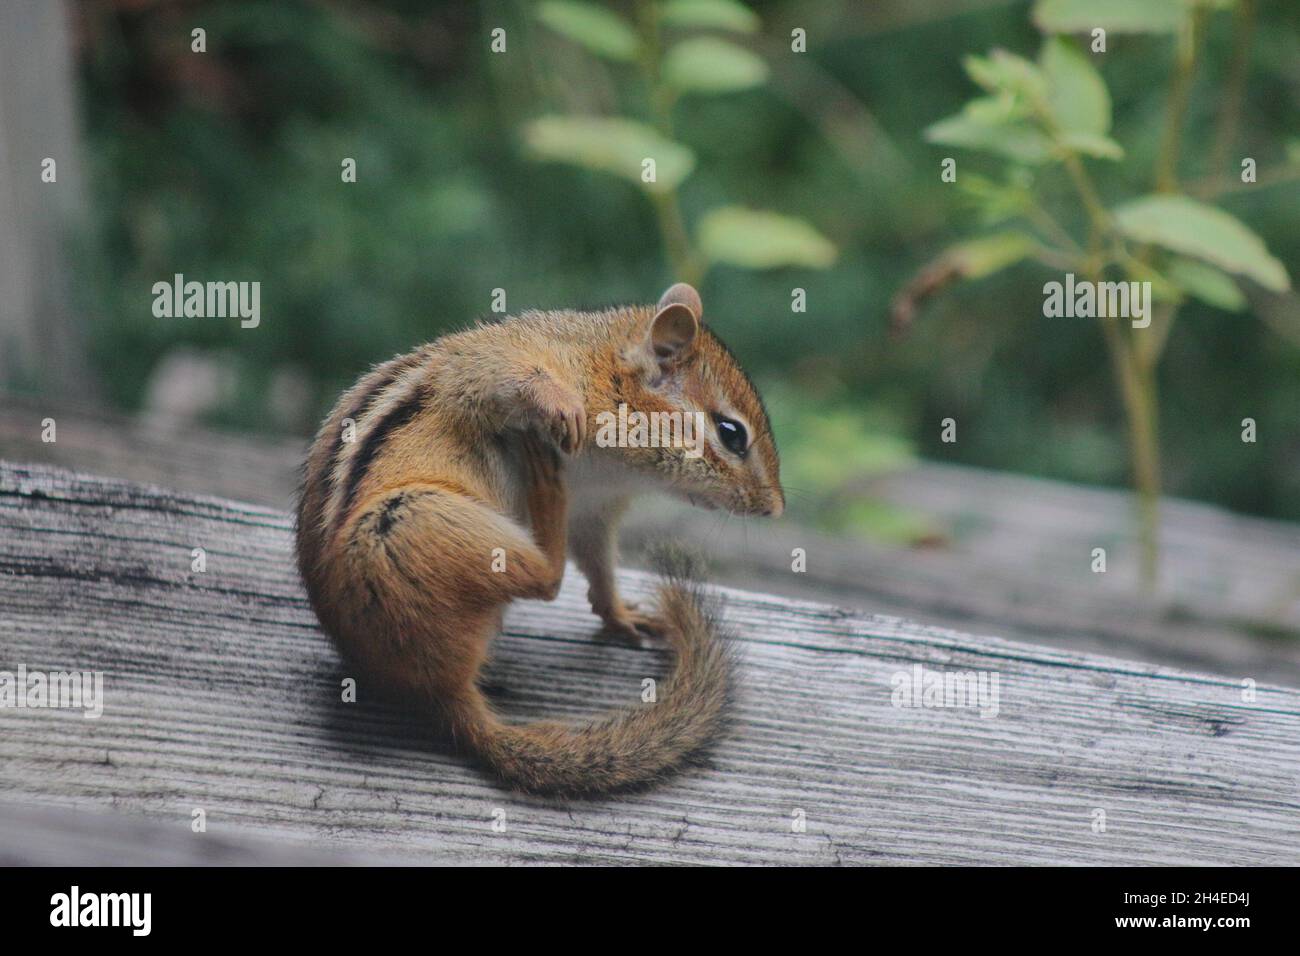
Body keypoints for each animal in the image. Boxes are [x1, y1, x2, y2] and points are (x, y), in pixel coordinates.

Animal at [295, 282, 784, 795]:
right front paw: (559, 405)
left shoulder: (594, 509)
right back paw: (545, 481)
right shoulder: (495, 362)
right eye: (731, 433)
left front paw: (622, 614)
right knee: (548, 578)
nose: (775, 507)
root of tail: (431, 690)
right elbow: (504, 370)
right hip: (407, 522)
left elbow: (599, 566)